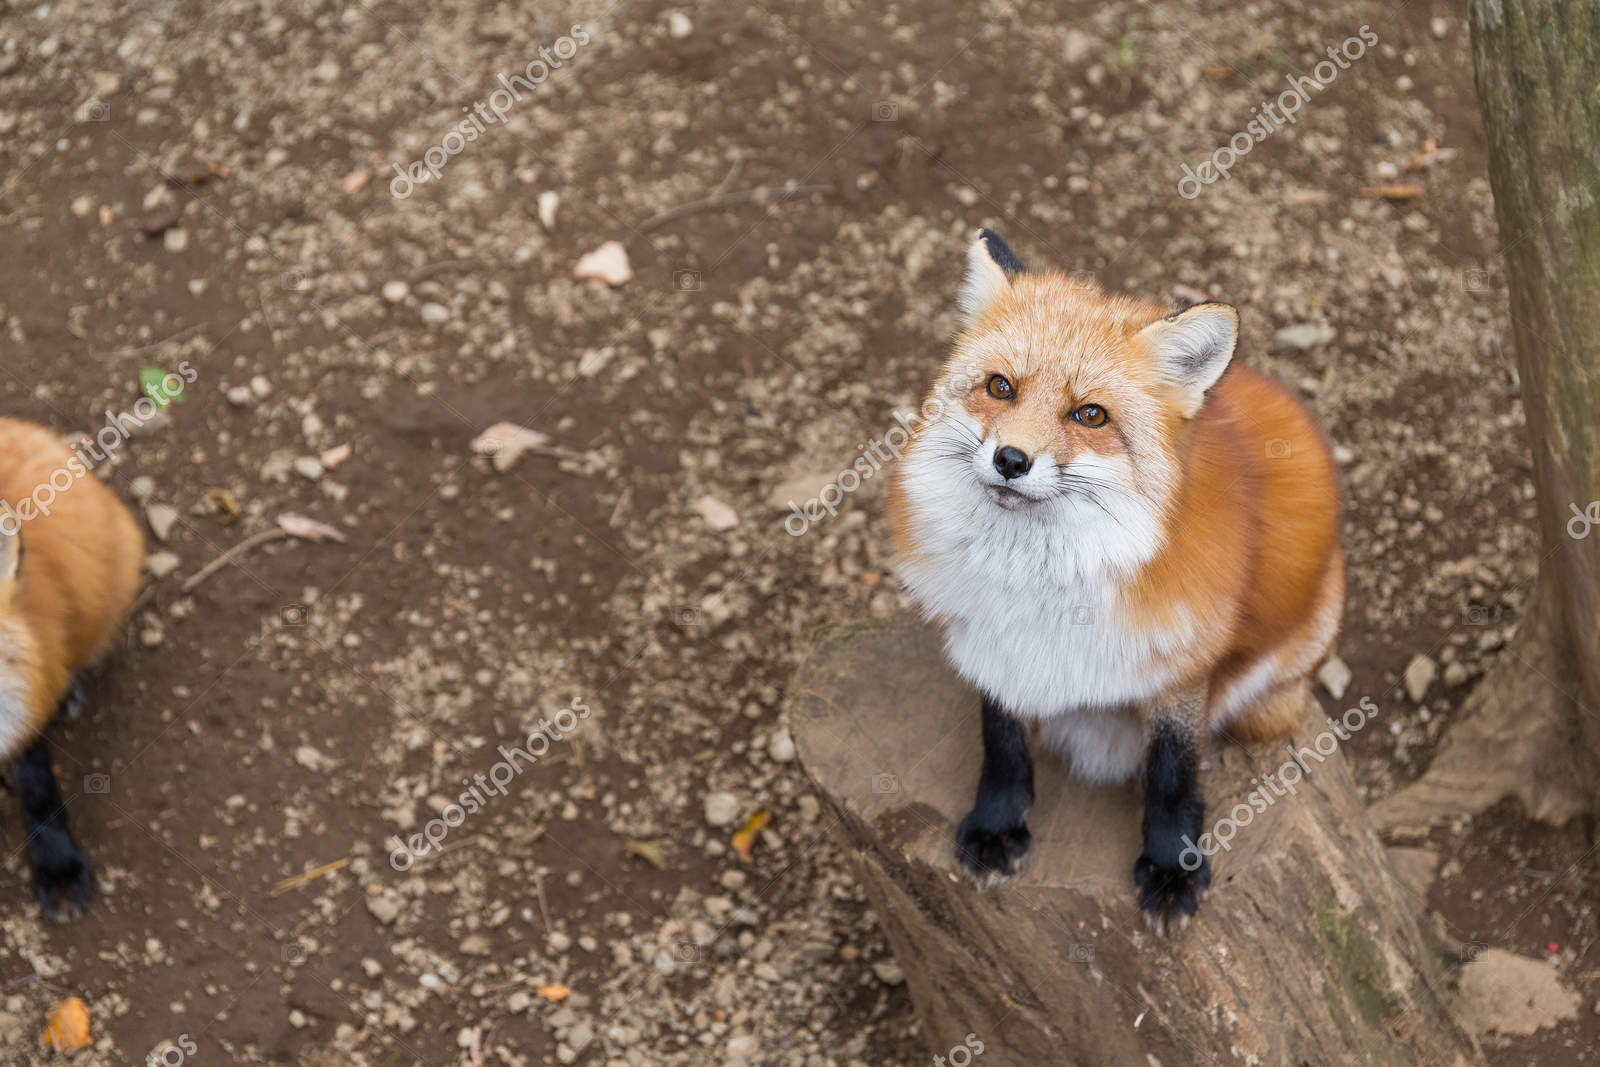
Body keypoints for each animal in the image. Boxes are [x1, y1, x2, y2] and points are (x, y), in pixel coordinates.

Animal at [888, 230, 1344, 932]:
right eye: (1000, 386)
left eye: (1091, 415)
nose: (1011, 459)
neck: (1039, 585)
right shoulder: (991, 643)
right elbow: (1001, 742)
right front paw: (996, 824)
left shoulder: (1180, 665)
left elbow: (1172, 774)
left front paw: (1171, 867)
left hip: (1272, 698)